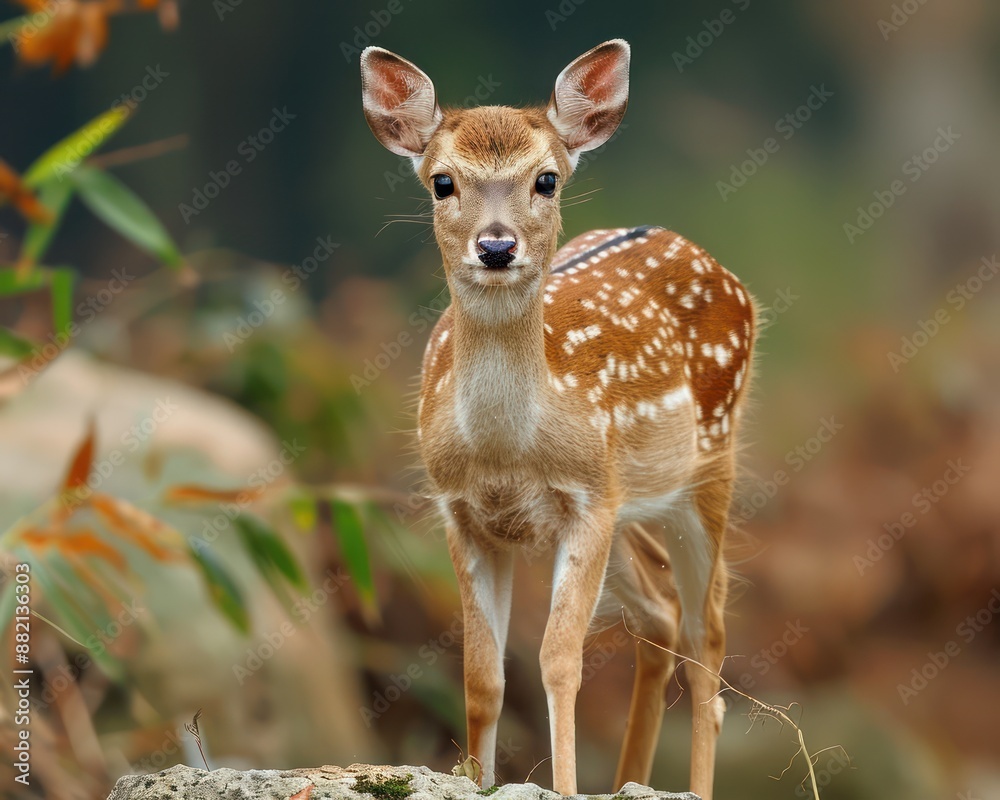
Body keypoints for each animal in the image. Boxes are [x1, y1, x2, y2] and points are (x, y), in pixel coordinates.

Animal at [360, 39, 756, 800]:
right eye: (442, 182)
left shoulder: (586, 500)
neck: (505, 452)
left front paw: (566, 785)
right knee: (661, 610)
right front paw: (477, 778)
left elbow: (559, 660)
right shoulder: (462, 511)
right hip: (628, 504)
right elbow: (482, 675)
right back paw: (631, 779)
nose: (496, 246)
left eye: (546, 180)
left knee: (710, 637)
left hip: (707, 467)